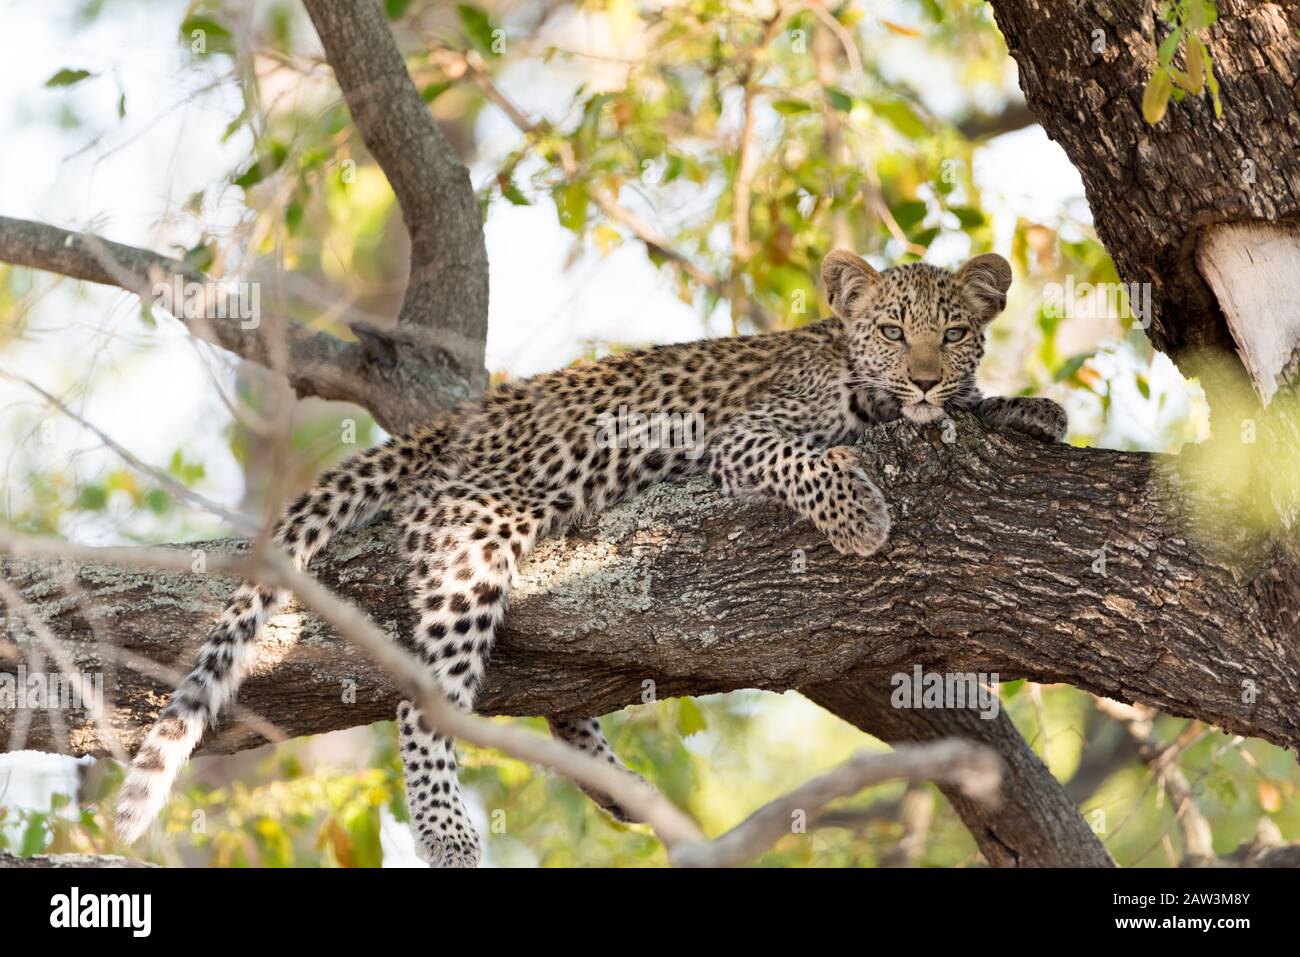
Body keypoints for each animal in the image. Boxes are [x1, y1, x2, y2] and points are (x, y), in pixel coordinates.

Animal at [115, 249, 1067, 867]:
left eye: (953, 331)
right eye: (891, 329)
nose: (924, 378)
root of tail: (449, 422)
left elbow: (980, 410)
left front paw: (1028, 408)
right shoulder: (746, 436)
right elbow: (806, 457)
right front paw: (862, 510)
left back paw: (613, 785)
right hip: (478, 527)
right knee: (426, 703)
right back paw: (448, 832)